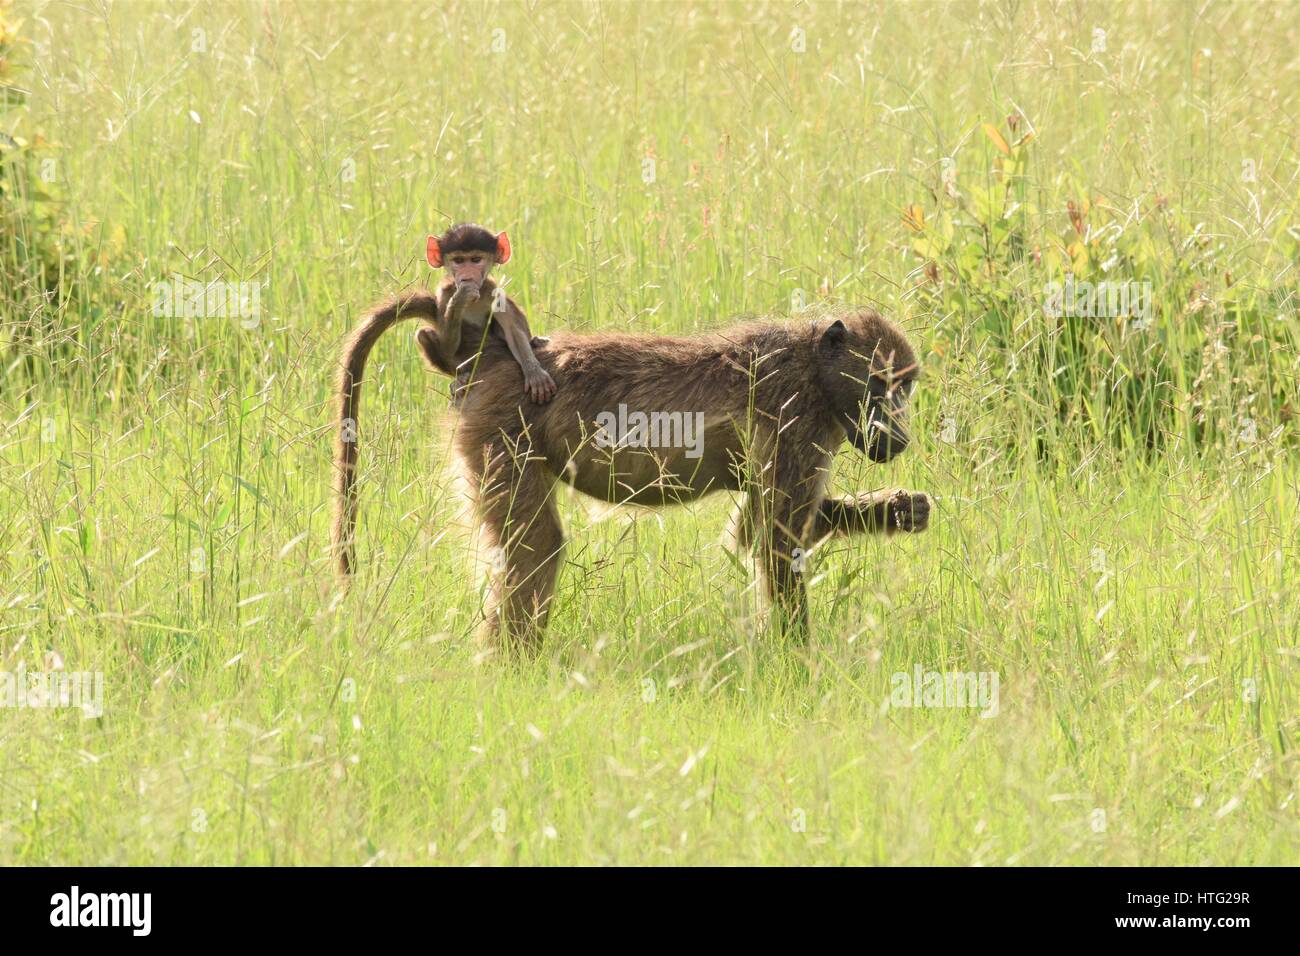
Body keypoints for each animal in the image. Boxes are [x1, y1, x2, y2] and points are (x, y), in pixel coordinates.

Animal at [332, 300, 930, 648]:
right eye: (880, 383)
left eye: (905, 386)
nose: (898, 435)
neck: (813, 367)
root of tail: (495, 357)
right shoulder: (796, 419)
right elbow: (774, 541)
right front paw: (799, 659)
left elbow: (754, 529)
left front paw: (903, 508)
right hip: (501, 429)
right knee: (536, 545)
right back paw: (509, 670)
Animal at [418, 223, 556, 405]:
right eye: (458, 261)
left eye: (476, 260)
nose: (467, 275)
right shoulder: (443, 295)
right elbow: (447, 347)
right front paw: (460, 298)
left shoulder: (494, 292)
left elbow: (513, 332)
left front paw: (534, 373)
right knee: (423, 334)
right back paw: (460, 379)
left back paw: (535, 341)